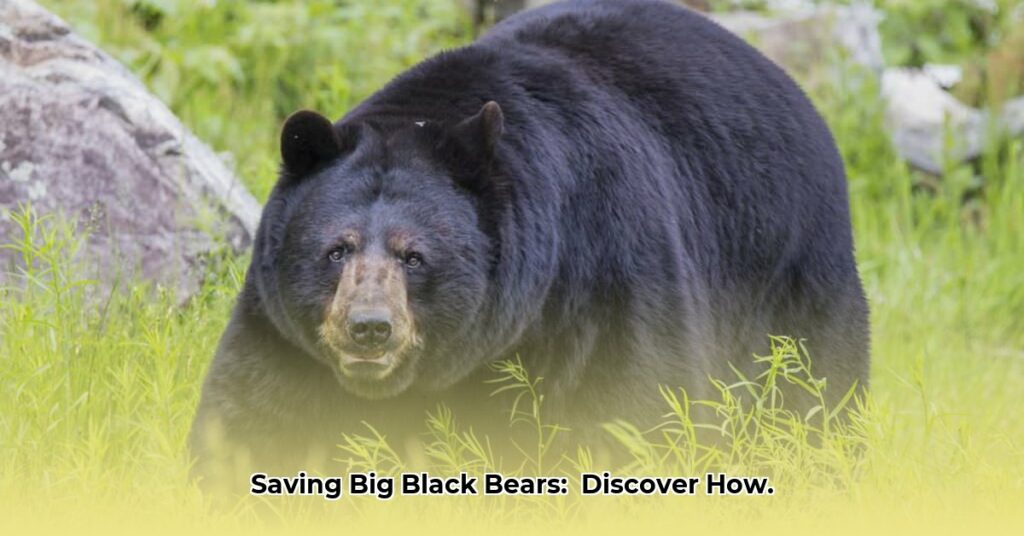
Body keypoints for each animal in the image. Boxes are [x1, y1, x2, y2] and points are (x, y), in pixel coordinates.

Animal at [190, 0, 869, 480]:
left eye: (415, 256)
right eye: (337, 248)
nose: (369, 328)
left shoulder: (603, 284)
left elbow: (632, 413)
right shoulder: (283, 332)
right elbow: (253, 418)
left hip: (790, 282)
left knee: (810, 402)